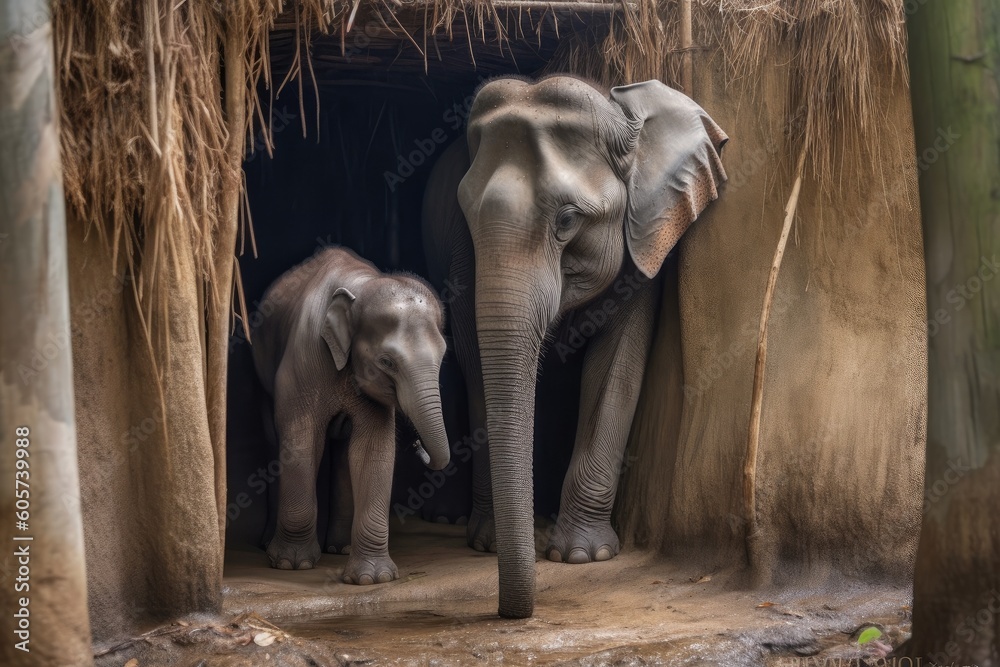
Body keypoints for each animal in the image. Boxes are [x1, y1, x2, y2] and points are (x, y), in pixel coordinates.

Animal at [252, 246, 450, 584]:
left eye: (443, 356)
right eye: (387, 362)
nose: (417, 446)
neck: (361, 284)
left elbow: (371, 451)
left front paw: (373, 579)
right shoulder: (305, 357)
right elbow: (302, 441)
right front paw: (293, 564)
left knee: (344, 449)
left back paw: (340, 548)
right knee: (271, 440)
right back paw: (269, 547)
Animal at [422, 75, 727, 617]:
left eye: (567, 220)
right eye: (470, 217)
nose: (511, 611)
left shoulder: (642, 244)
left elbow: (618, 362)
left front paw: (583, 555)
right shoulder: (459, 252)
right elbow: (477, 359)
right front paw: (491, 543)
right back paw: (448, 518)